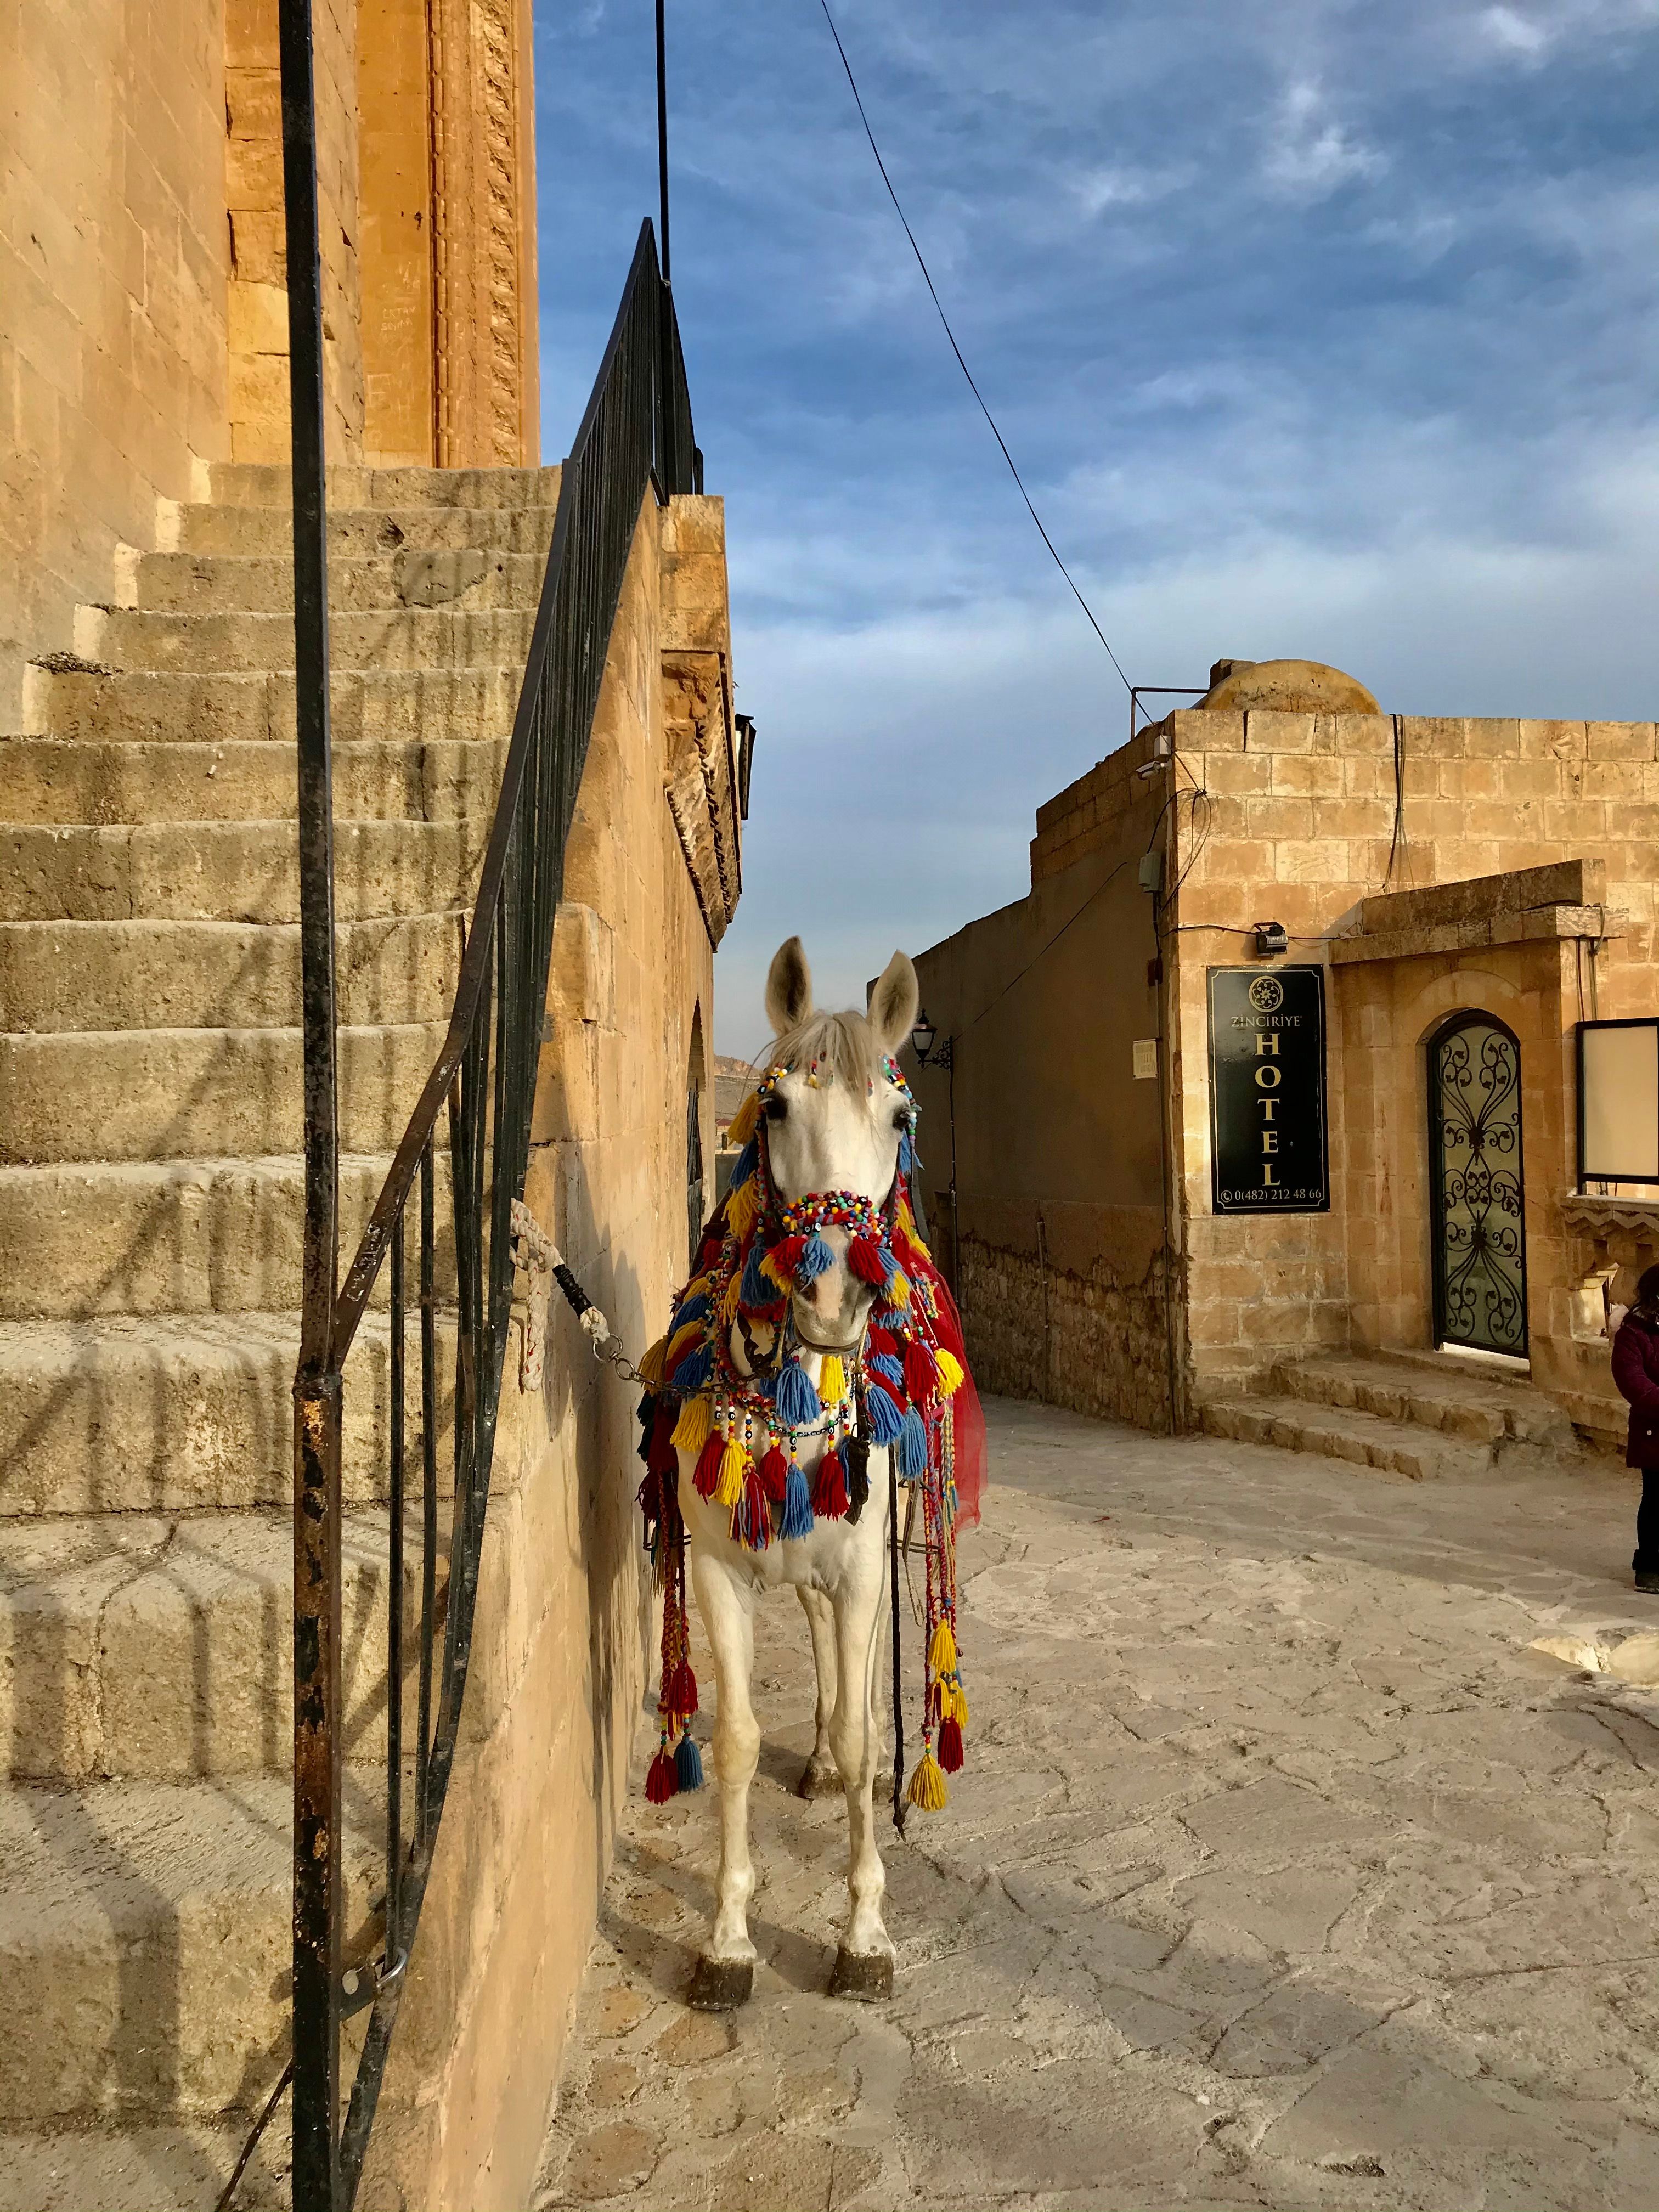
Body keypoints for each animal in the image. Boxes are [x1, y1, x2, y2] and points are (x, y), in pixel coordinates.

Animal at [635, 935, 977, 2008]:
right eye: (776, 1106)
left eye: (901, 1118)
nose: (834, 1295)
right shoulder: (718, 1571)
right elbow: (739, 1739)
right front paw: (726, 1940)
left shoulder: (863, 1564)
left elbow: (870, 1733)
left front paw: (864, 1934)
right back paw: (819, 1761)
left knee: (854, 1671)